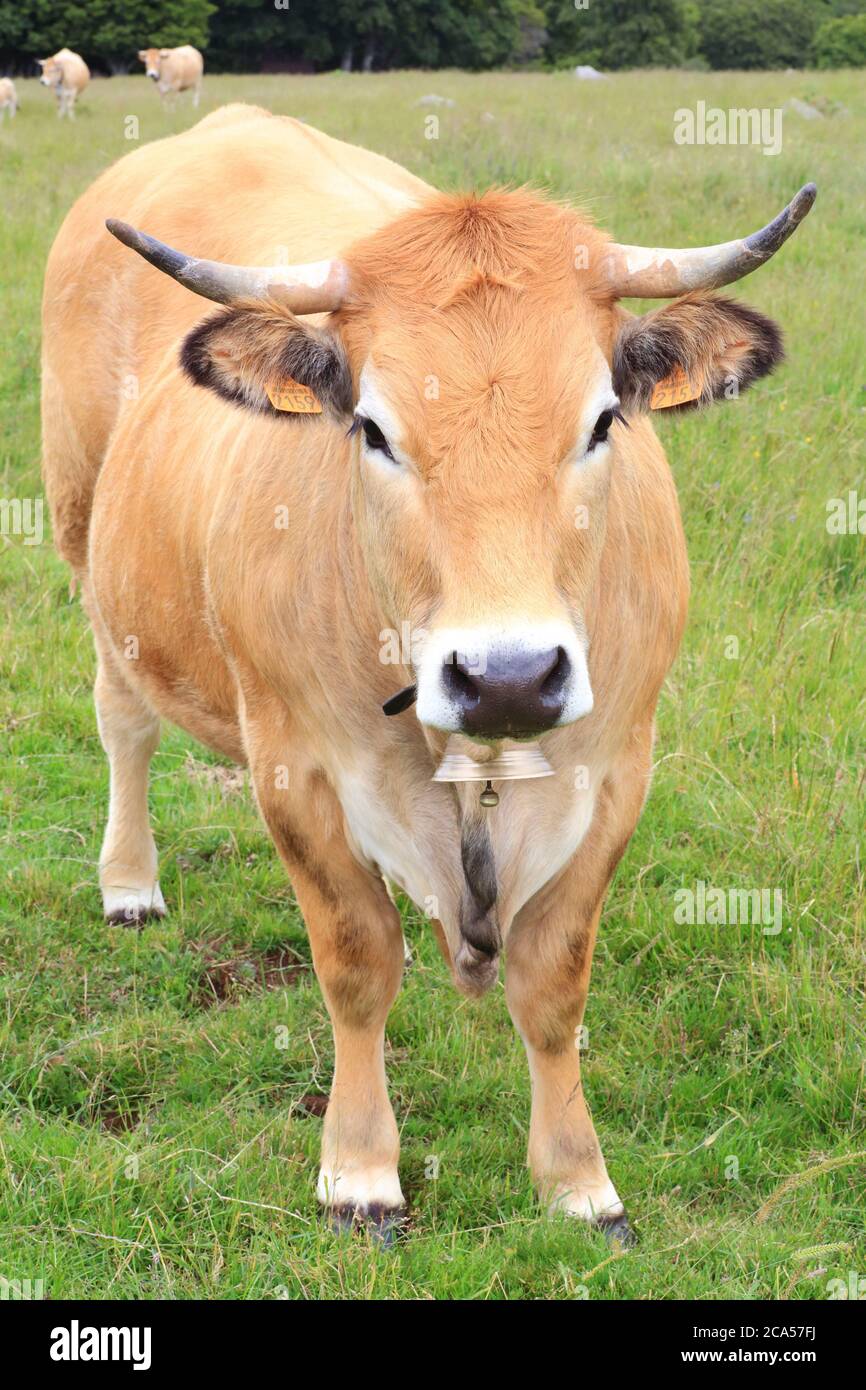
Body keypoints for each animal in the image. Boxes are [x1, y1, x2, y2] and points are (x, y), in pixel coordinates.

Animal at [41, 105, 815, 1244]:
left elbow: (553, 980)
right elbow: (357, 963)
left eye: (601, 421)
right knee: (124, 722)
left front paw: (577, 1179)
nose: (508, 676)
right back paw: (129, 881)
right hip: (88, 550)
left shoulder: (618, 769)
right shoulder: (296, 768)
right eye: (372, 428)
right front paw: (361, 1170)